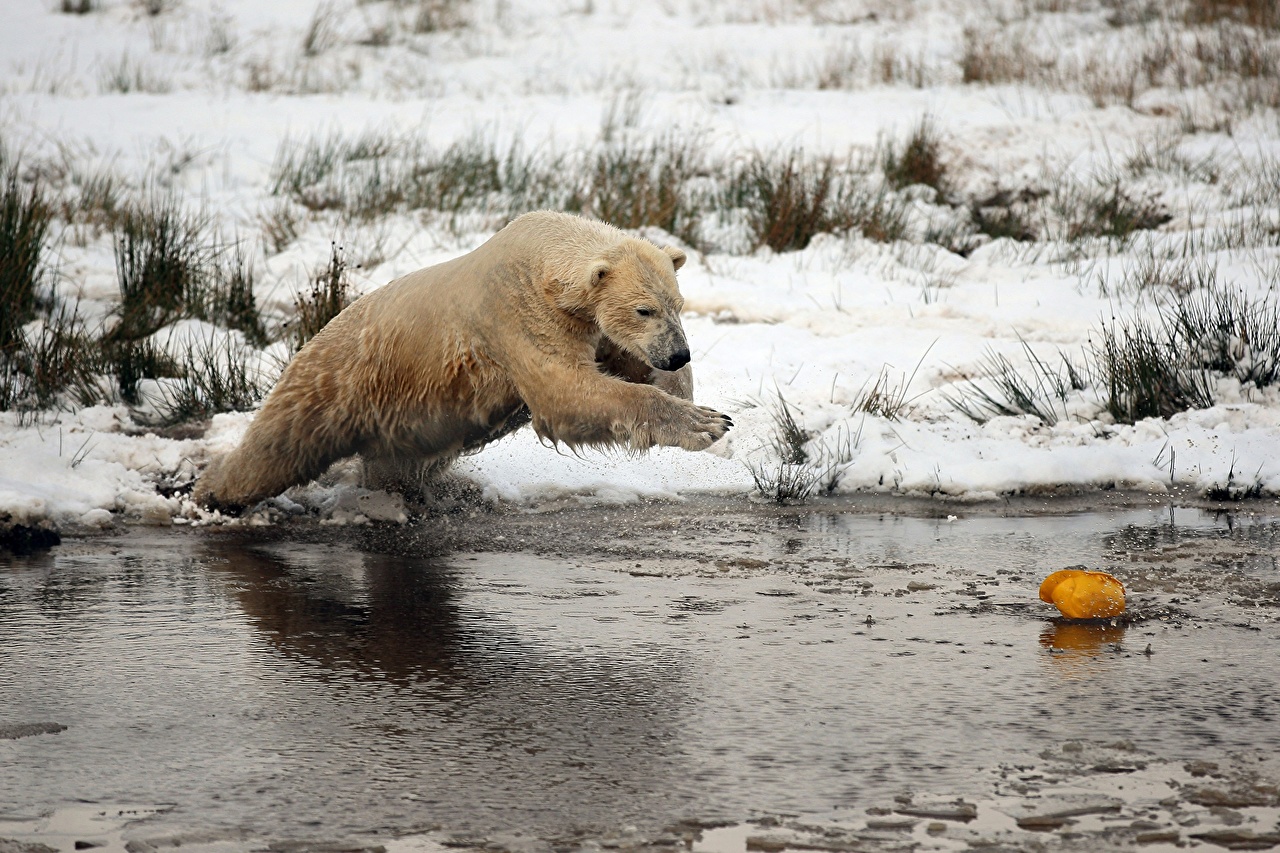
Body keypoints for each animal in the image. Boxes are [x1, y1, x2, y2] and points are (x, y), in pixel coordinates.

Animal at [193, 211, 732, 511]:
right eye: (644, 309)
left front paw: (691, 397)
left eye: (677, 304)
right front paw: (707, 424)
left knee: (392, 466)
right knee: (276, 448)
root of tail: (311, 343)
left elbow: (622, 363)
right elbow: (566, 394)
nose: (678, 352)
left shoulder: (586, 324)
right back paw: (210, 493)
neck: (543, 255)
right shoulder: (517, 314)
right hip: (334, 384)